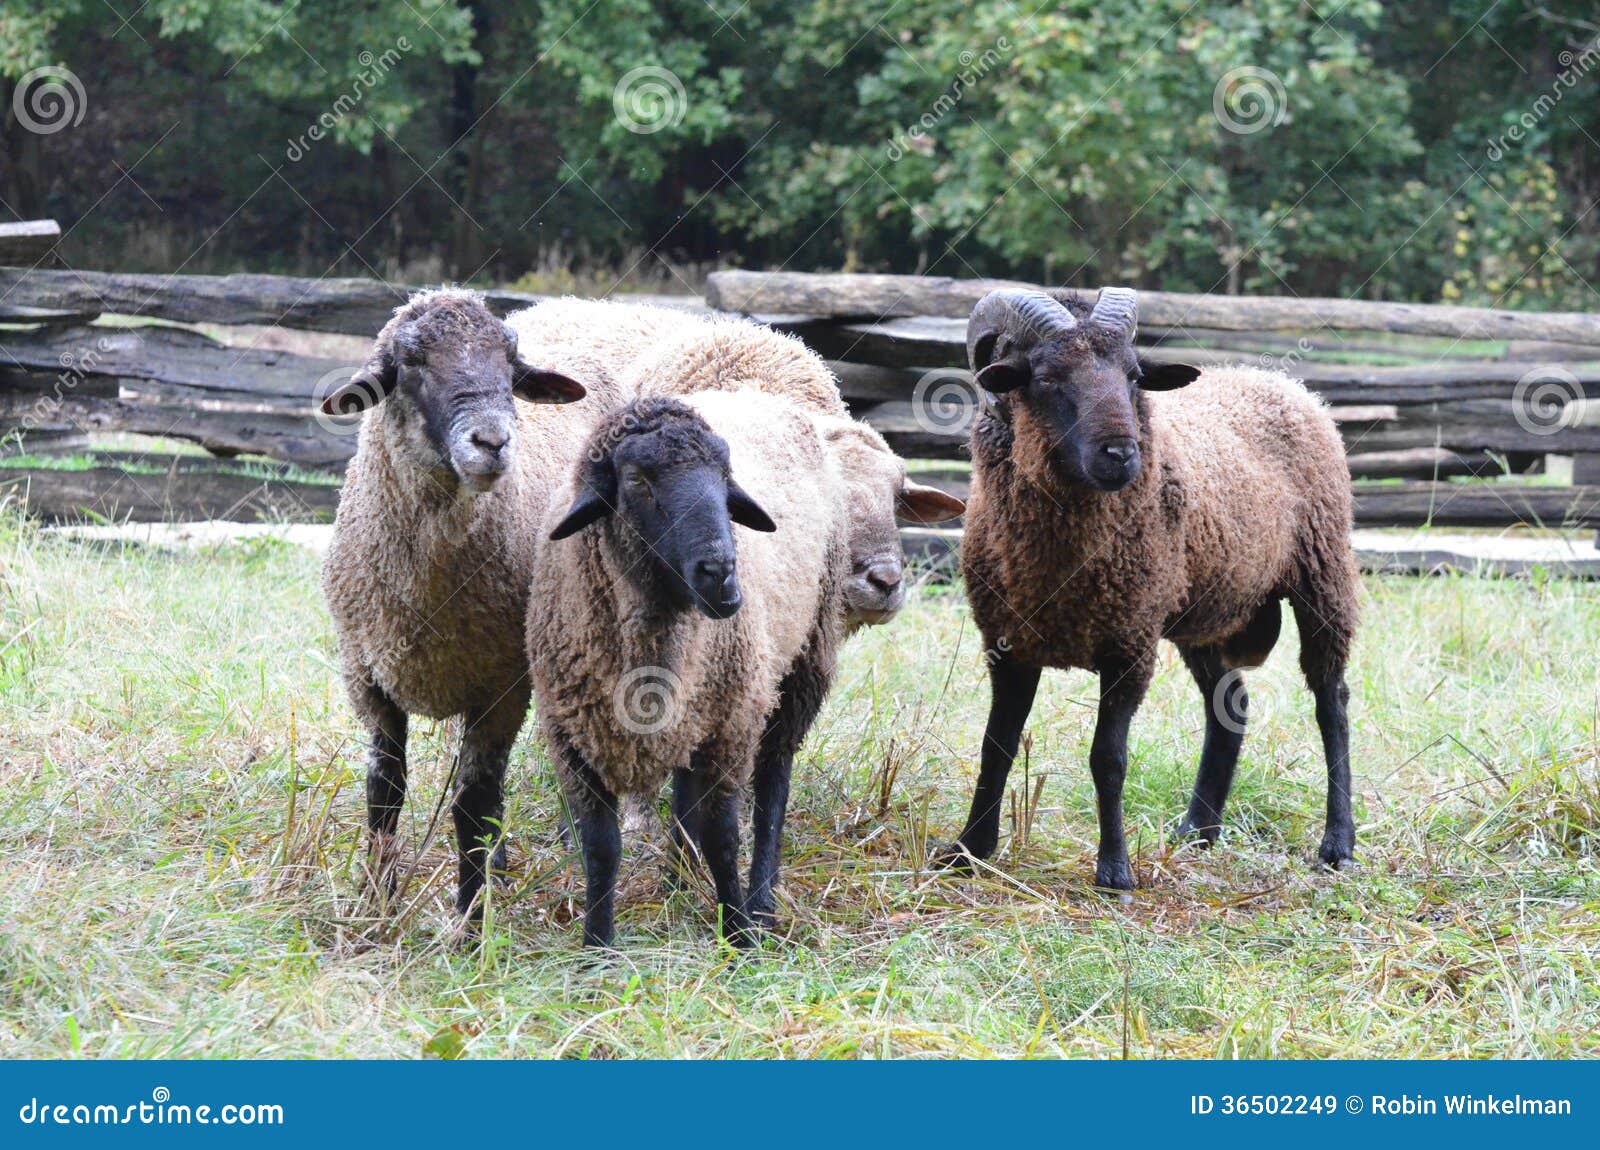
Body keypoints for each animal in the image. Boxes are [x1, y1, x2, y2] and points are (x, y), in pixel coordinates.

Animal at [320, 288, 600, 921]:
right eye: (411, 363)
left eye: (510, 367)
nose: (493, 443)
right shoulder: (366, 673)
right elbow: (385, 790)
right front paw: (377, 901)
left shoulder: (501, 685)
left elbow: (473, 803)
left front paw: (471, 923)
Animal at [526, 391, 852, 947]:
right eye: (636, 479)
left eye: (724, 474)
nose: (720, 574)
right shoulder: (571, 736)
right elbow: (601, 847)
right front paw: (596, 946)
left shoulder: (732, 724)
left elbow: (723, 835)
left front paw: (738, 934)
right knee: (684, 795)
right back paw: (677, 879)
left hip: (803, 661)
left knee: (773, 785)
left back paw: (761, 902)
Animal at [938, 286, 1359, 890]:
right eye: (1045, 377)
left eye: (1135, 375)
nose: (1121, 454)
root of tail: (1285, 384)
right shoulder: (1008, 643)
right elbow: (995, 745)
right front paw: (968, 850)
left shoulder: (1129, 643)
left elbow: (1107, 757)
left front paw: (1115, 871)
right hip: (1201, 612)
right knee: (1229, 708)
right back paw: (1198, 831)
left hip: (1323, 576)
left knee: (1332, 704)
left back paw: (1337, 843)